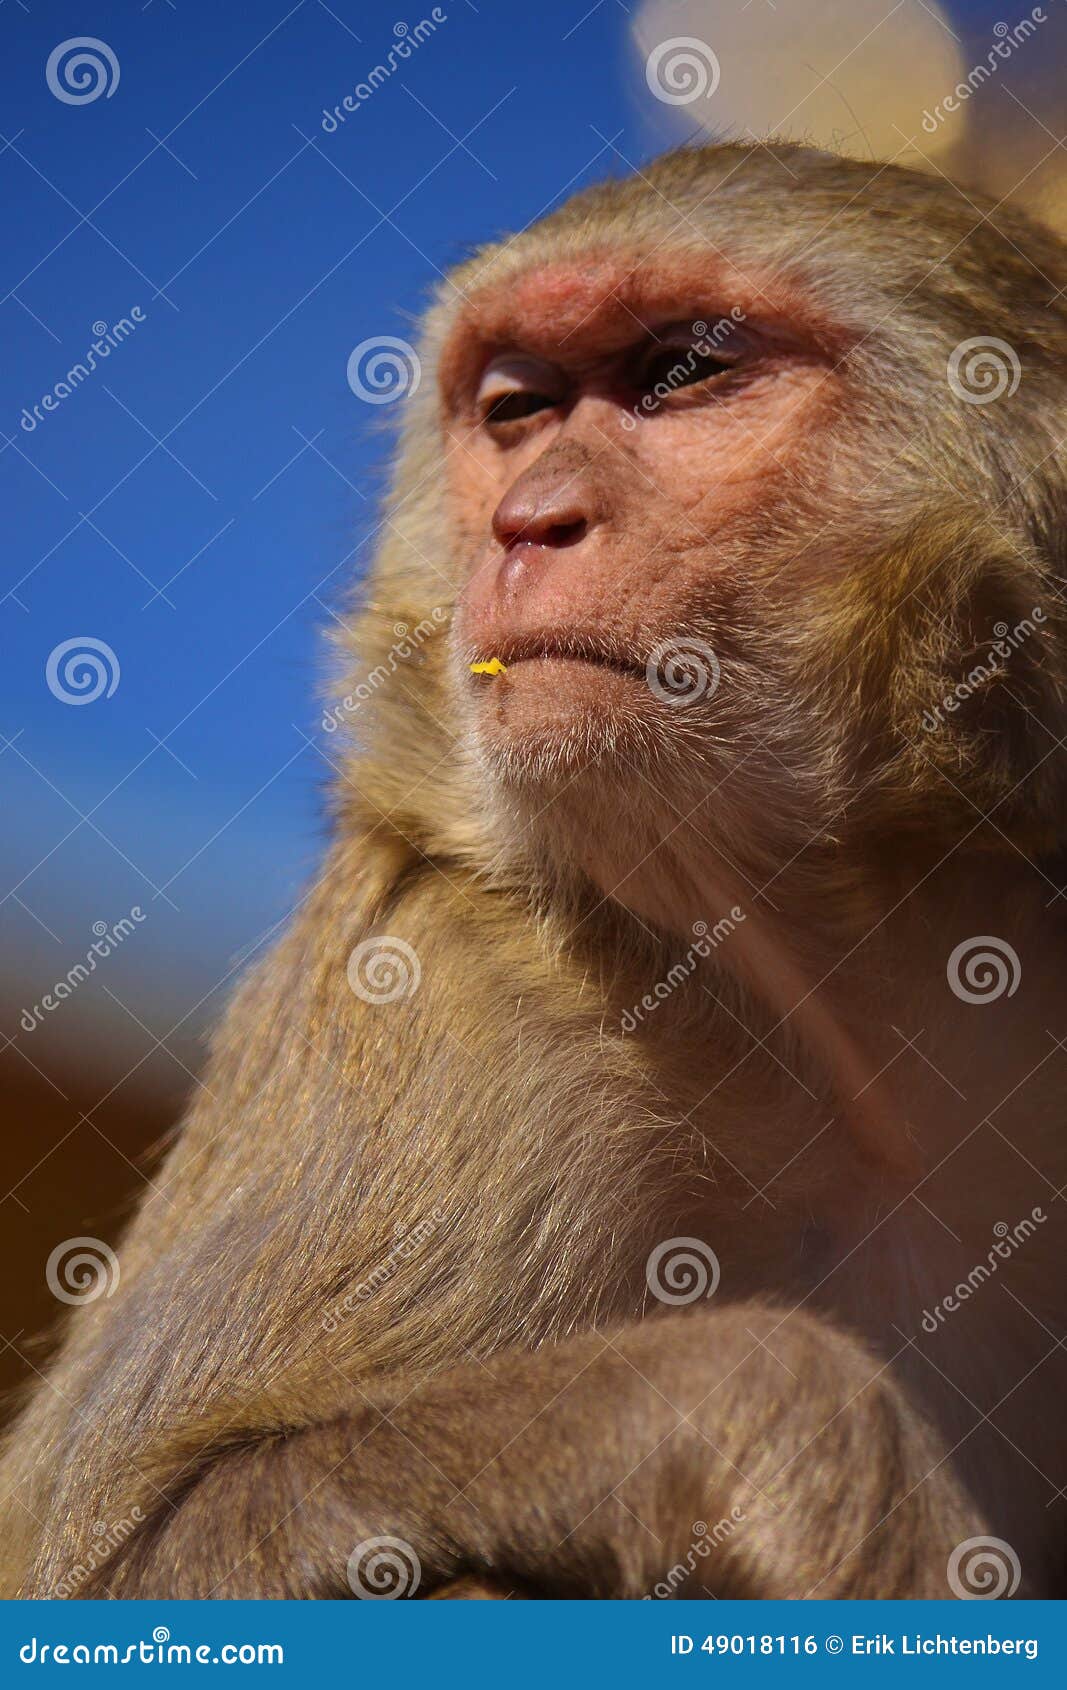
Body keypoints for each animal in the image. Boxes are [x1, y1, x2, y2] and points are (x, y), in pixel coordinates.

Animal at [2, 139, 1067, 1601]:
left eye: (679, 373)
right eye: (516, 408)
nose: (525, 522)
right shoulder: (454, 1011)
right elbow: (108, 1555)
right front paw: (802, 1437)